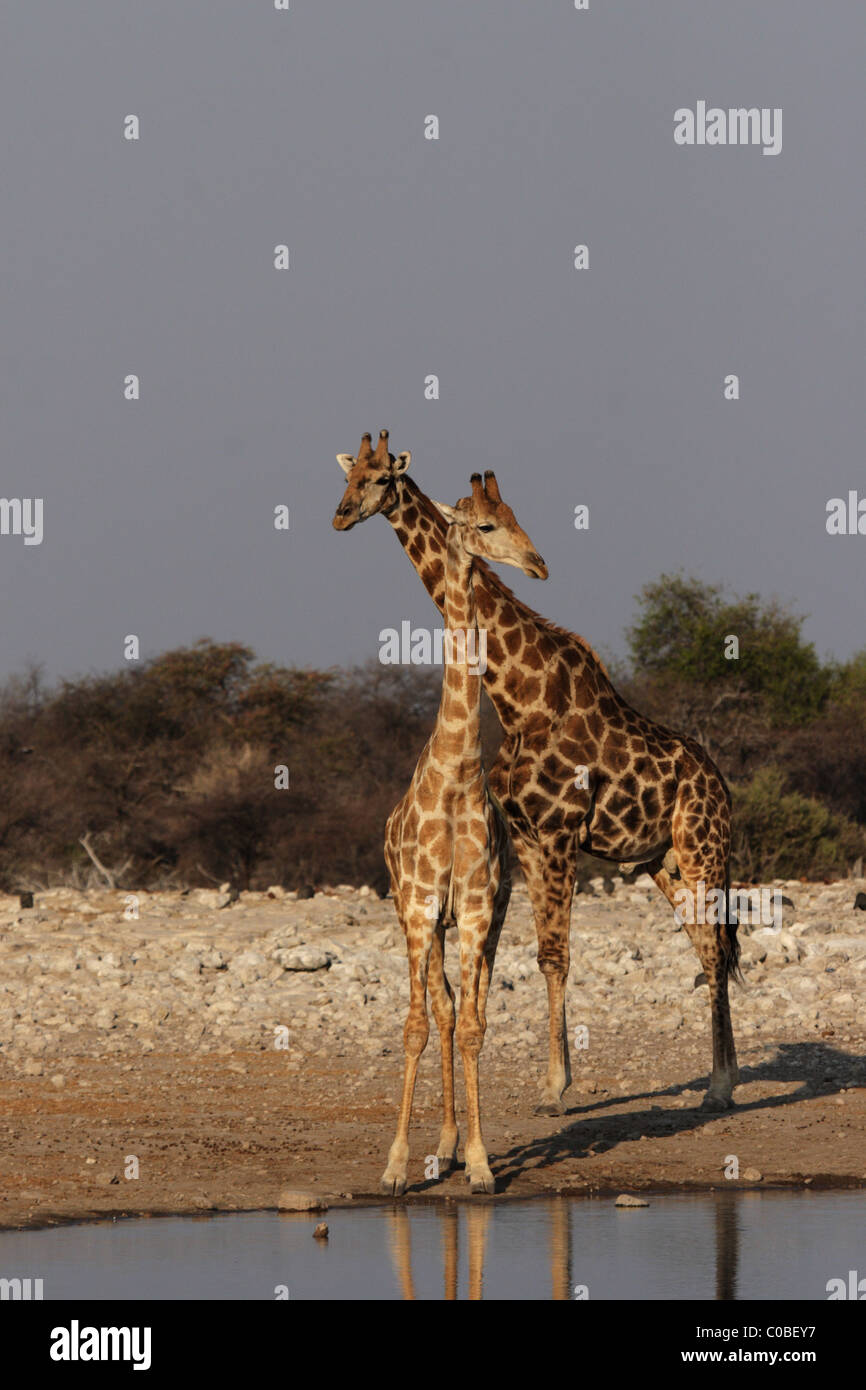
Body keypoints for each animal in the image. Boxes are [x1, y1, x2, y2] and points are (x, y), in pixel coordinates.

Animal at [334, 430, 740, 1115]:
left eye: (381, 476)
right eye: (350, 475)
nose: (340, 515)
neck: (517, 699)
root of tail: (724, 789)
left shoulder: (557, 834)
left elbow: (555, 955)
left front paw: (555, 1087)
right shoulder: (523, 837)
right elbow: (525, 957)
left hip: (701, 849)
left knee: (714, 948)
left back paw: (718, 1085)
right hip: (663, 861)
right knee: (711, 946)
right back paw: (728, 1075)